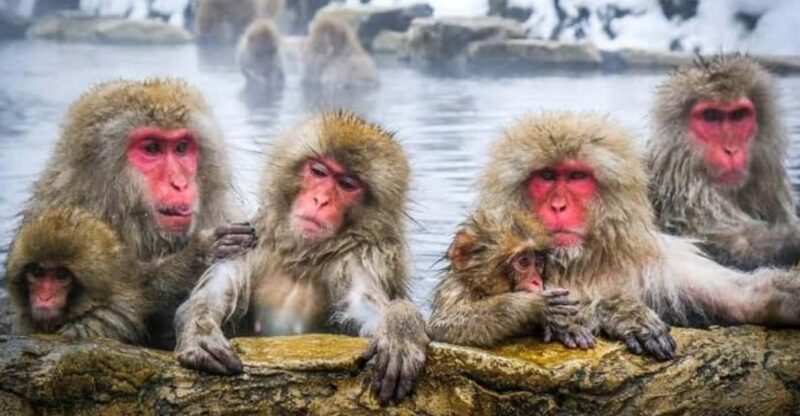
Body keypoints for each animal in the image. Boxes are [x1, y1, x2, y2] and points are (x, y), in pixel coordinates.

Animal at [174, 111, 428, 405]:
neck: (302, 257)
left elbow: (364, 303)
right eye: (318, 171)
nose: (320, 200)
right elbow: (214, 292)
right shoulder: (252, 240)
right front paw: (199, 332)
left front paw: (400, 327)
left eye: (347, 184)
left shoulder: (359, 259)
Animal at [428, 208, 596, 350]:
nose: (537, 281)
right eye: (523, 262)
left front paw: (566, 327)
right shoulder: (455, 289)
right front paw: (531, 305)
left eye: (539, 263)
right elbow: (442, 325)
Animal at [477, 112, 800, 361]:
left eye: (576, 177)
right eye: (546, 176)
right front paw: (622, 313)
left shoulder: (664, 264)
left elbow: (746, 298)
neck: (581, 263)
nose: (558, 206)